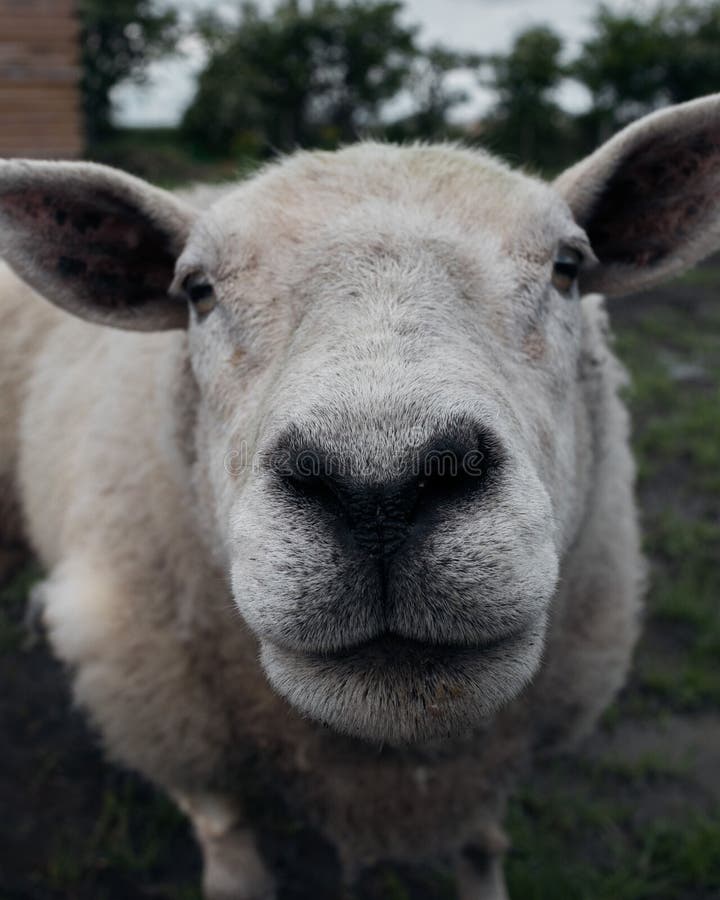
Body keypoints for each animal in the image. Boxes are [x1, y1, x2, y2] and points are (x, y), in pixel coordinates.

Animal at [0, 93, 718, 900]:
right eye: (197, 291)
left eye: (568, 267)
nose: (379, 488)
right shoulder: (167, 718)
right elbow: (229, 845)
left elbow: (482, 845)